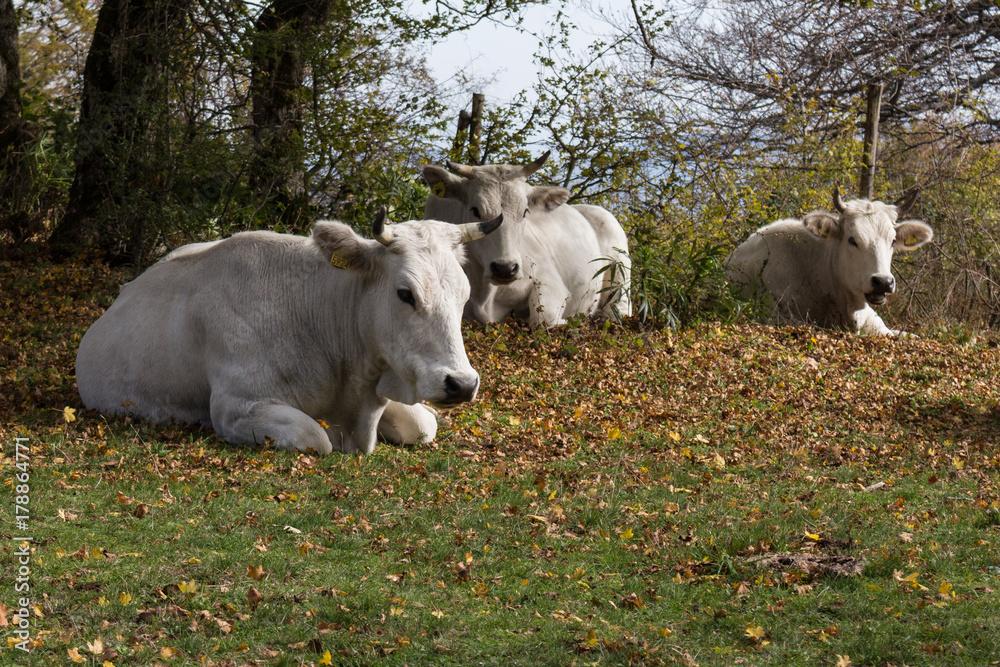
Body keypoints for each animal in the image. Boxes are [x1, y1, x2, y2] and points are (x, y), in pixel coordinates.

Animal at [75, 209, 502, 455]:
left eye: (464, 295)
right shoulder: (236, 408)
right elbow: (316, 438)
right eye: (405, 294)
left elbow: (422, 424)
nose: (462, 384)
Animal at [422, 152, 632, 327]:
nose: (505, 268)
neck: (483, 294)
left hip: (620, 278)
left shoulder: (549, 280)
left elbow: (543, 318)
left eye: (525, 211)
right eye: (475, 210)